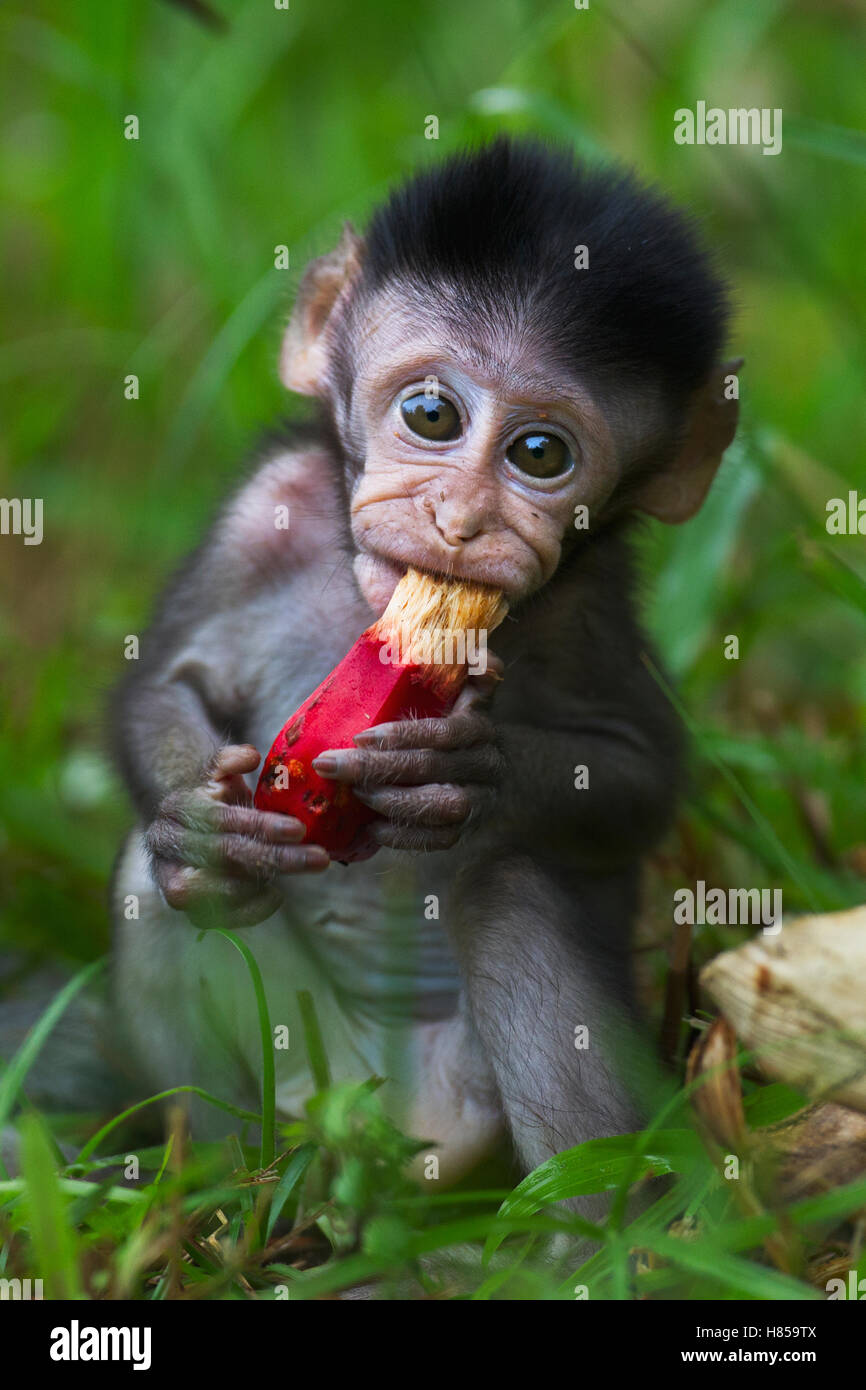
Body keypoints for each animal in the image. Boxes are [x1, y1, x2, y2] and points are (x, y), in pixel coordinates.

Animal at [104, 136, 738, 1200]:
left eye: (540, 453)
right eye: (432, 414)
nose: (459, 519)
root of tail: (395, 1127)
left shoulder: (592, 604)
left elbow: (639, 774)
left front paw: (457, 772)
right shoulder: (261, 509)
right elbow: (165, 686)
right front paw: (202, 816)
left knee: (508, 890)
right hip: (304, 1072)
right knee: (156, 887)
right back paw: (216, 1179)